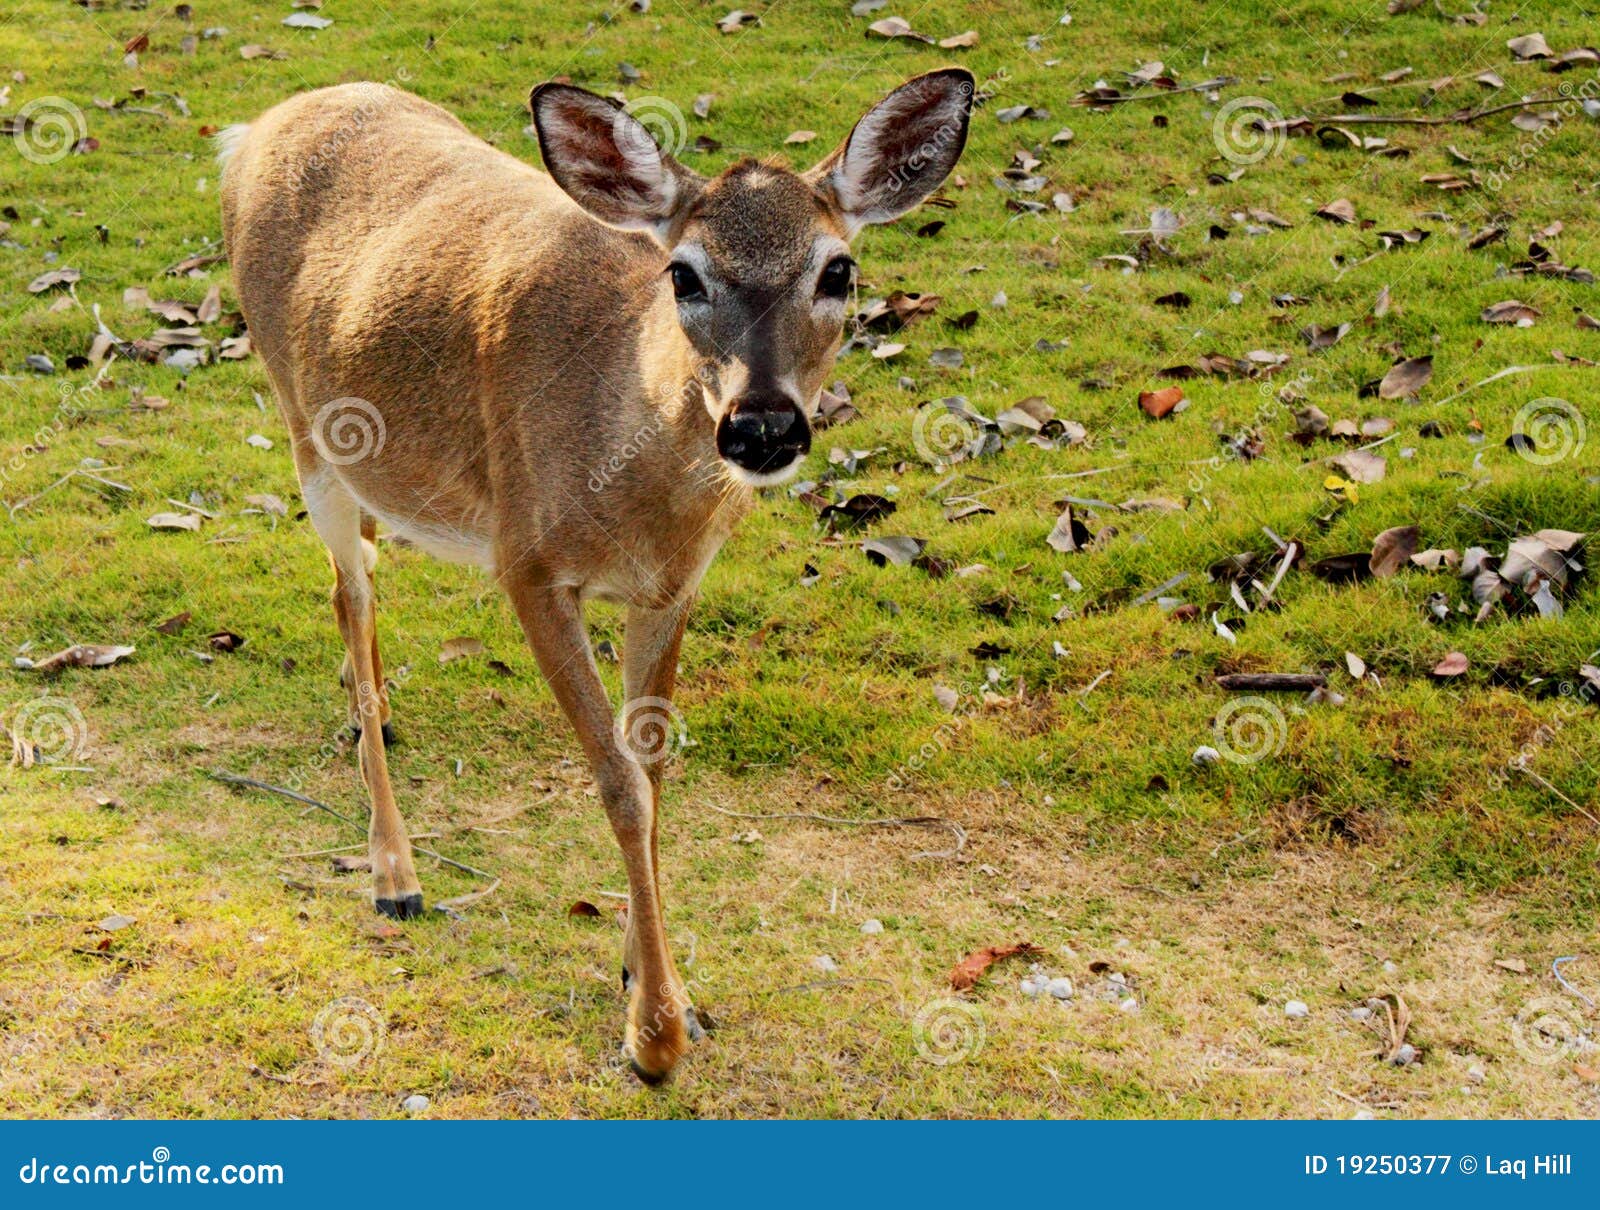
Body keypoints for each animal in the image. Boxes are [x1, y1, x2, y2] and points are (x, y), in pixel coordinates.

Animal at [218, 67, 972, 1083]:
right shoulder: (528, 560)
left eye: (838, 270)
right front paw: (654, 1035)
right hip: (301, 421)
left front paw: (655, 986)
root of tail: (254, 127)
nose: (761, 427)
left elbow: (651, 777)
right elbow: (618, 782)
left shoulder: (673, 588)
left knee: (365, 575)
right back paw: (395, 873)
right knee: (349, 588)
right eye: (683, 272)